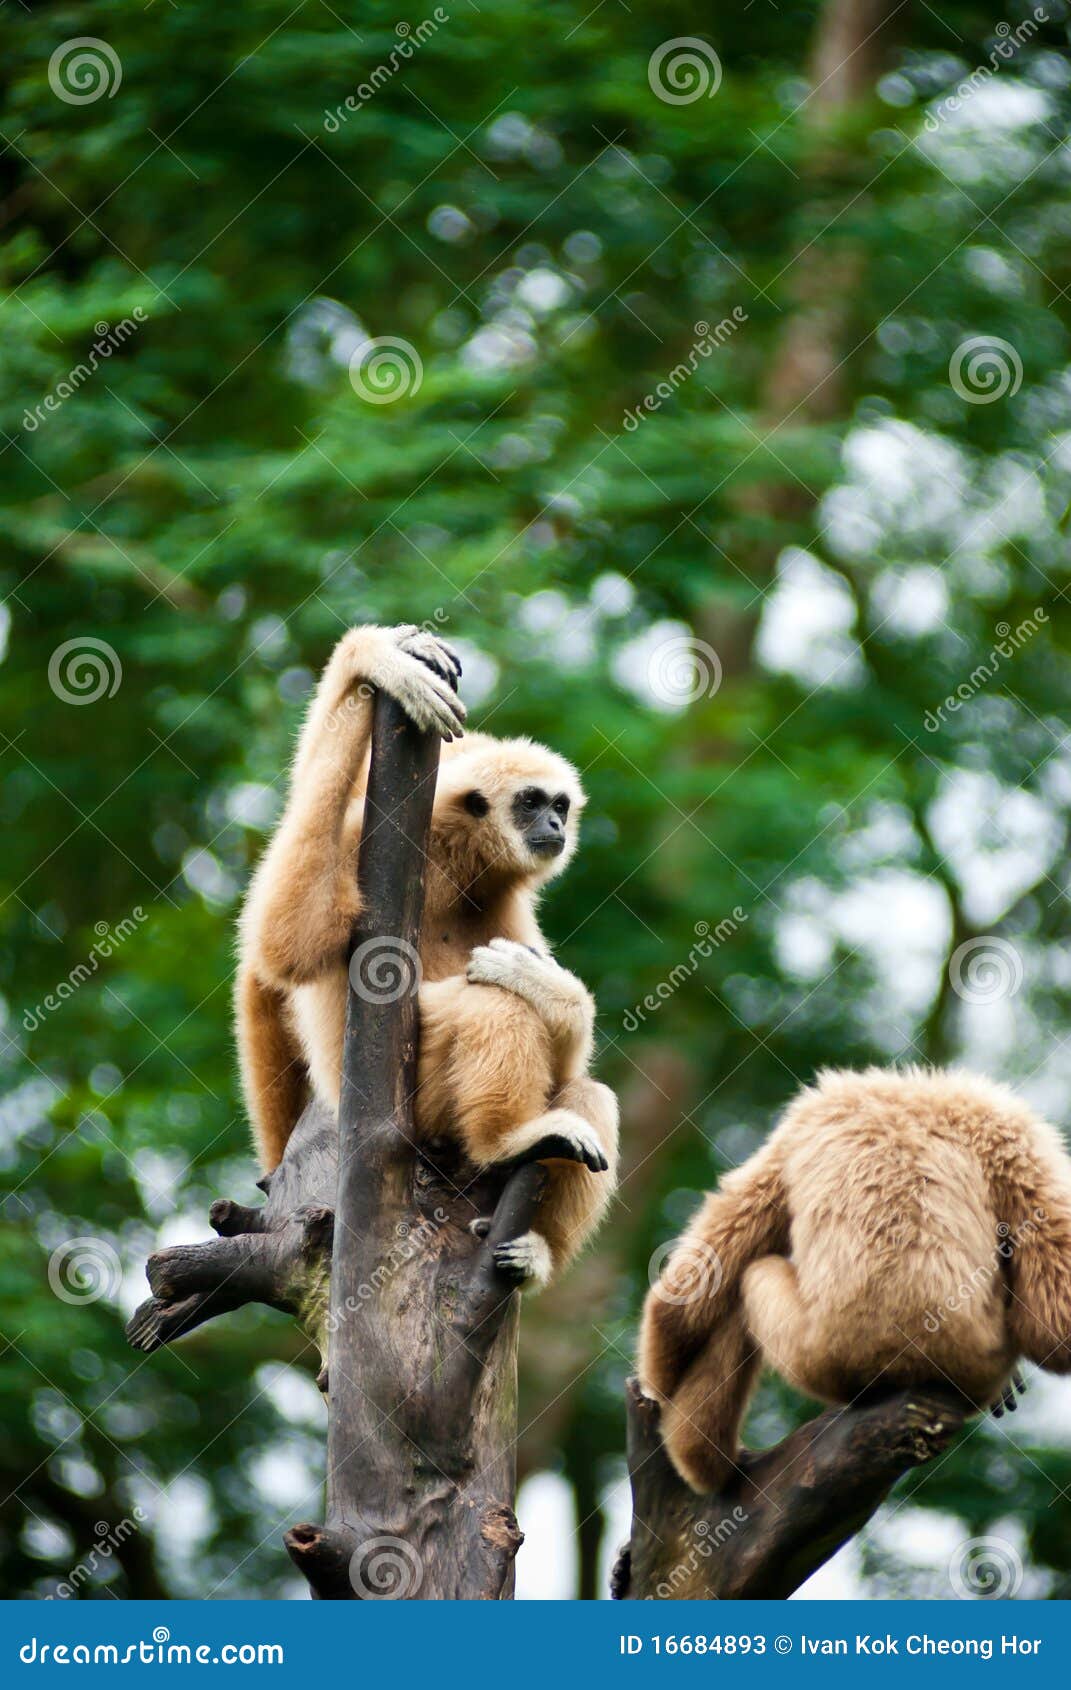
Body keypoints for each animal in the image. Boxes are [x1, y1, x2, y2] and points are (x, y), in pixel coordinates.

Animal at [236, 622, 619, 1289]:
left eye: (560, 805)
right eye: (531, 802)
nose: (555, 826)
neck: (452, 860)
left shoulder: (506, 903)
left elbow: (569, 1051)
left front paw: (546, 984)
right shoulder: (356, 839)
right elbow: (286, 940)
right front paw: (373, 659)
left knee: (586, 1087)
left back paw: (534, 1247)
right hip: (421, 1105)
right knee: (490, 1005)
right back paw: (509, 1139)